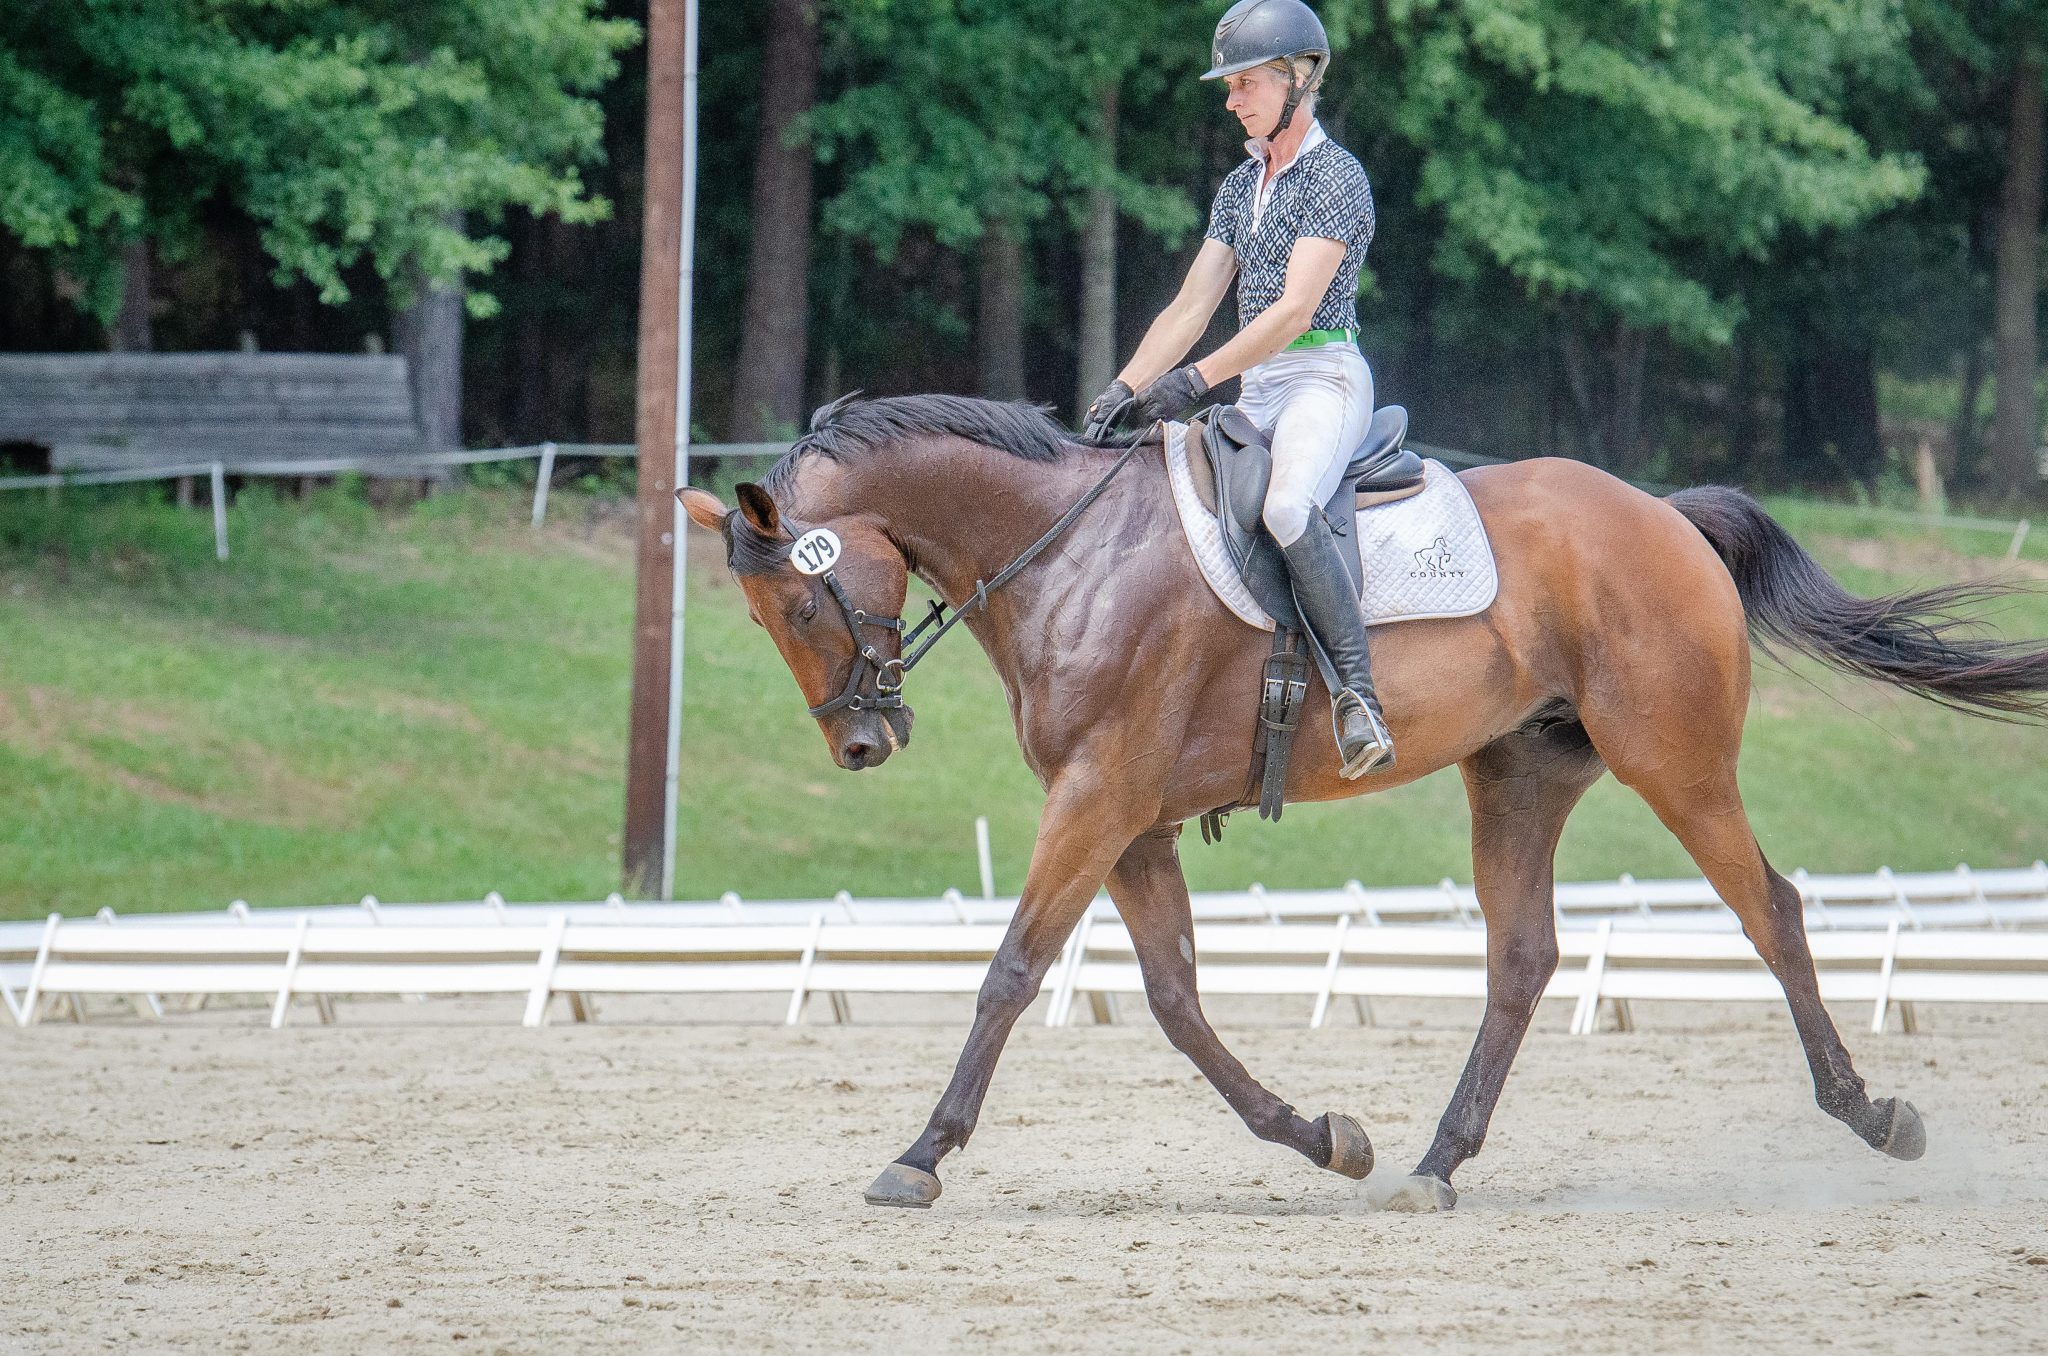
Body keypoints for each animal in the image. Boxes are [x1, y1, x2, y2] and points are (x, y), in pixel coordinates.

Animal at [676, 392, 2048, 1212]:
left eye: (797, 602)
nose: (861, 743)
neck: (1065, 549)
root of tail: (1661, 512)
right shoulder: (1132, 821)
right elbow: (1174, 1003)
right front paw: (1324, 1135)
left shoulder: (1096, 798)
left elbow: (1011, 972)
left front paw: (919, 1156)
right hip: (1520, 773)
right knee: (1520, 958)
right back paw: (1435, 1165)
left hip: (1676, 759)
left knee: (1771, 911)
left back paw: (1869, 1114)